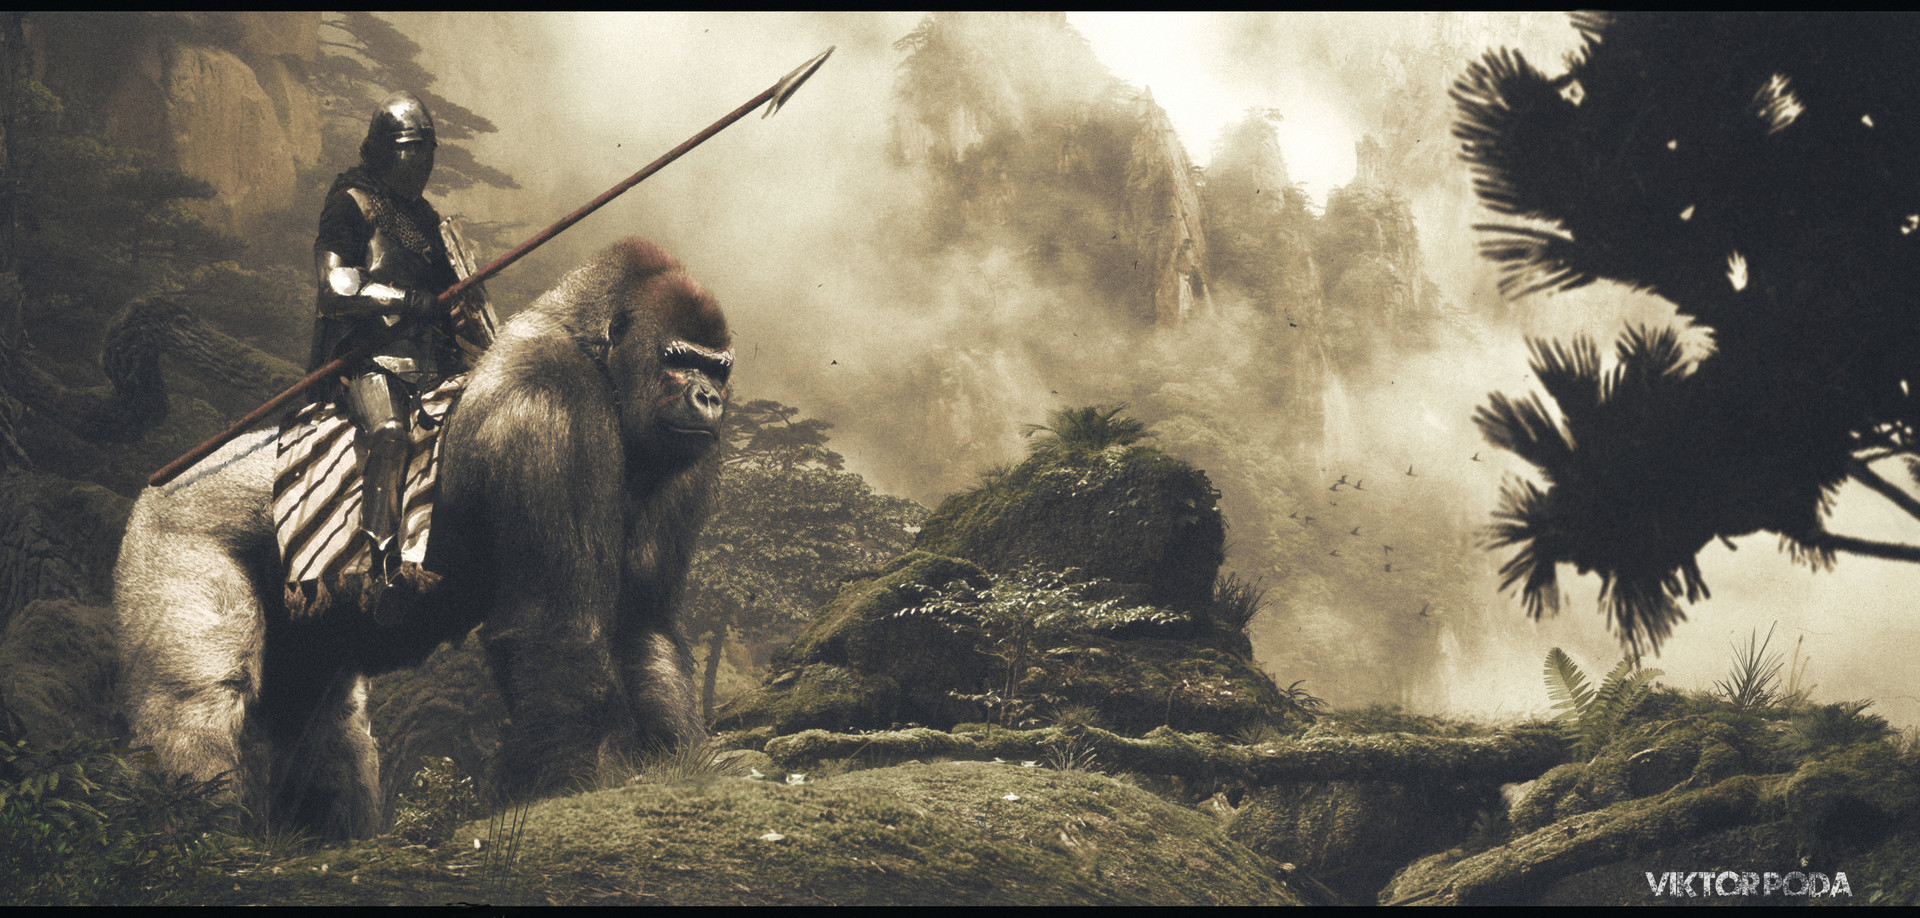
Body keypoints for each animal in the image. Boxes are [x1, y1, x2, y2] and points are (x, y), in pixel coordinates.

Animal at [113, 238, 730, 838]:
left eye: (717, 369)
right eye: (679, 361)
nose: (710, 399)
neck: (597, 357)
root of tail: (156, 484)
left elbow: (642, 631)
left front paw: (679, 767)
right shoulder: (549, 401)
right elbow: (559, 632)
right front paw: (579, 789)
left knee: (328, 728)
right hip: (174, 528)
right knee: (196, 700)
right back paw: (195, 842)